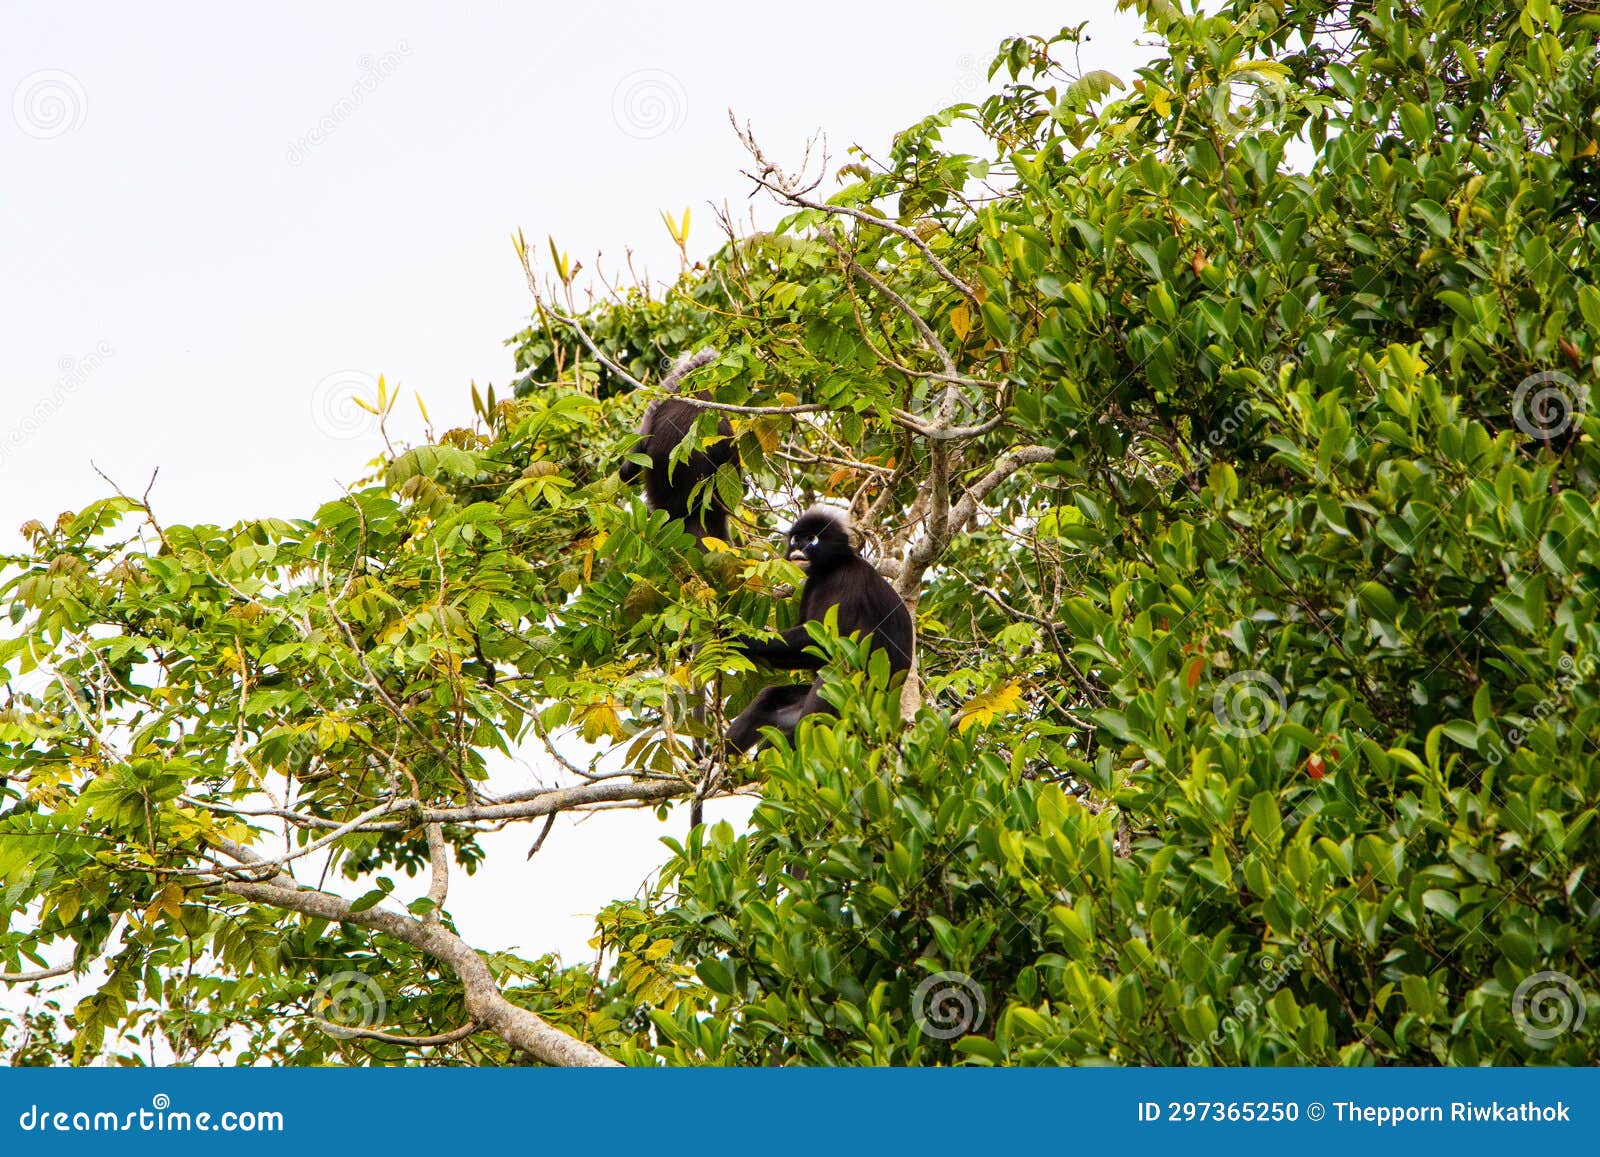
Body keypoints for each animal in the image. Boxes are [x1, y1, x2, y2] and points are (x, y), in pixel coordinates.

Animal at [725, 506, 914, 752]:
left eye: (811, 539)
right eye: (796, 538)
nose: (799, 548)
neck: (830, 570)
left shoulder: (847, 582)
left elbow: (824, 643)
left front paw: (738, 637)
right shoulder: (811, 585)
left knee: (833, 674)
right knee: (769, 700)